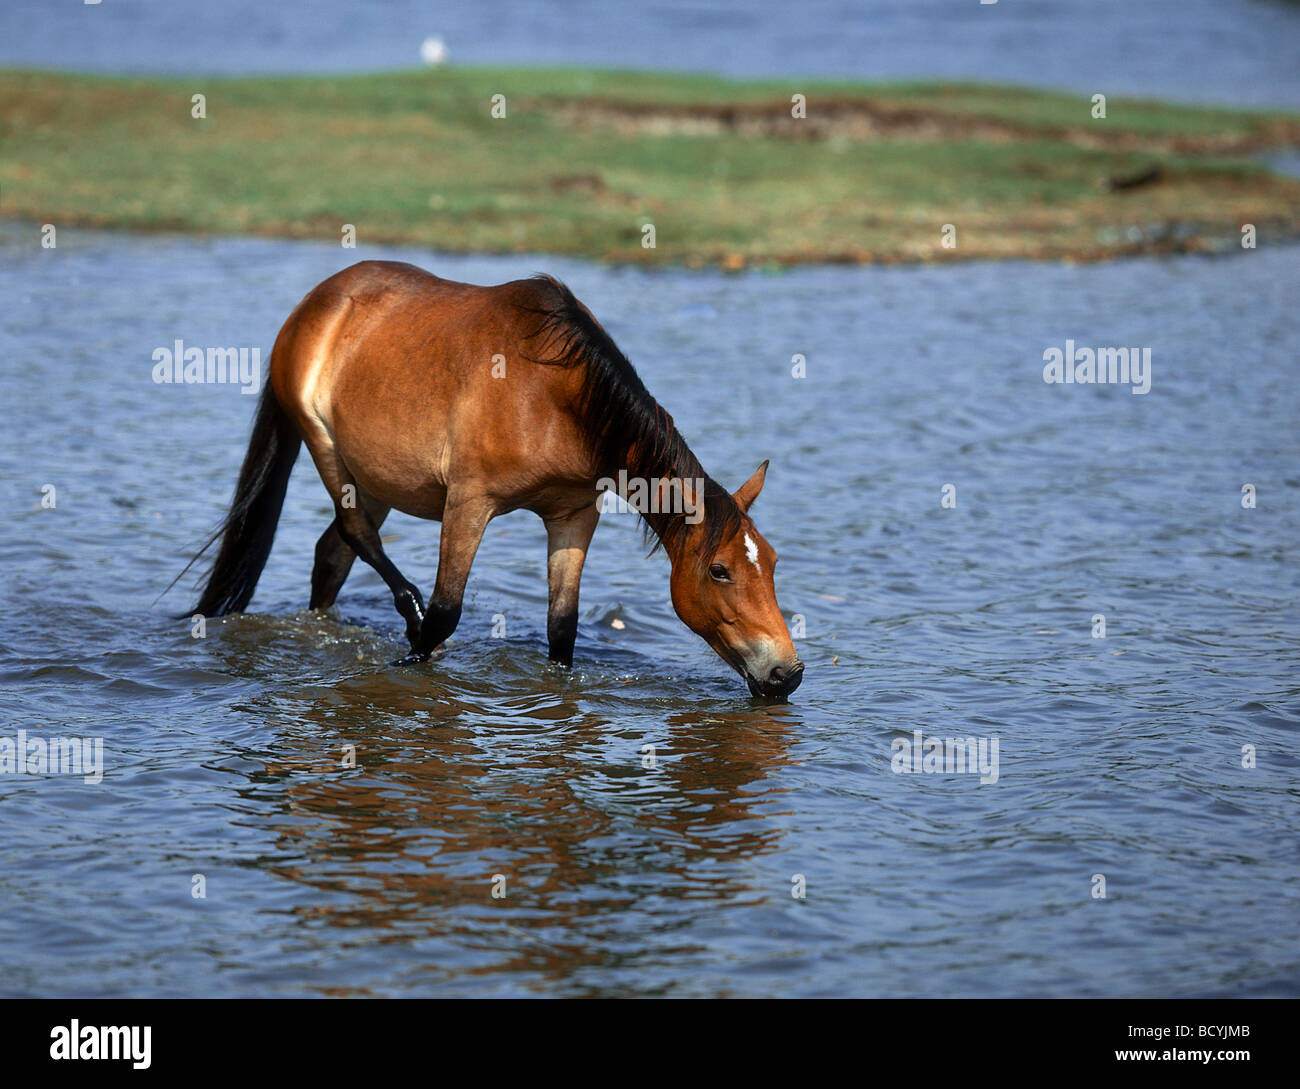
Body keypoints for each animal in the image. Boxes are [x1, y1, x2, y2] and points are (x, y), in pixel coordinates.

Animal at [183, 261, 805, 701]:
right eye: (720, 570)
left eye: (773, 562)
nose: (787, 673)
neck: (553, 394)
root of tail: (316, 302)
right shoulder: (469, 502)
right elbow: (445, 612)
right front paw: (416, 650)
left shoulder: (573, 515)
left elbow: (562, 626)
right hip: (326, 449)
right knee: (358, 538)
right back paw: (404, 617)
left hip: (376, 477)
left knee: (333, 553)